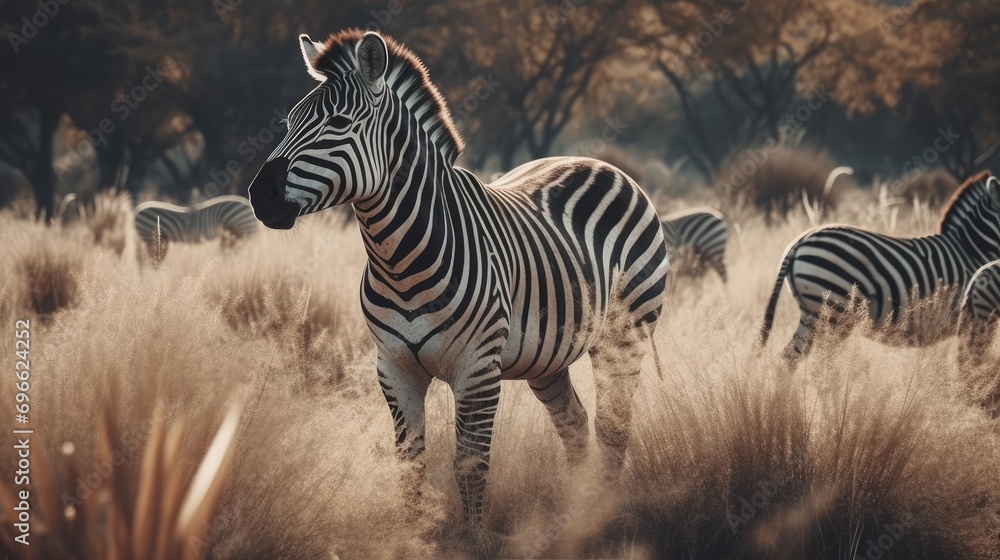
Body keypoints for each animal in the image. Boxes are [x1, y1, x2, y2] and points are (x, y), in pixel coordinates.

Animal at [247, 30, 670, 527]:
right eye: (289, 122)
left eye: (338, 122)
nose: (260, 195)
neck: (399, 260)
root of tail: (599, 163)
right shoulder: (394, 369)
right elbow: (410, 468)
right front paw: (412, 536)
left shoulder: (477, 369)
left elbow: (470, 469)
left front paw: (473, 538)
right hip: (548, 358)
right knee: (575, 426)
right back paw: (573, 512)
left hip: (625, 335)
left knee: (613, 429)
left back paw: (597, 515)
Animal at [759, 171, 1000, 364]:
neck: (972, 248)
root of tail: (799, 242)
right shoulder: (979, 316)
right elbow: (972, 365)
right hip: (833, 310)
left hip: (813, 313)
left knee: (789, 358)